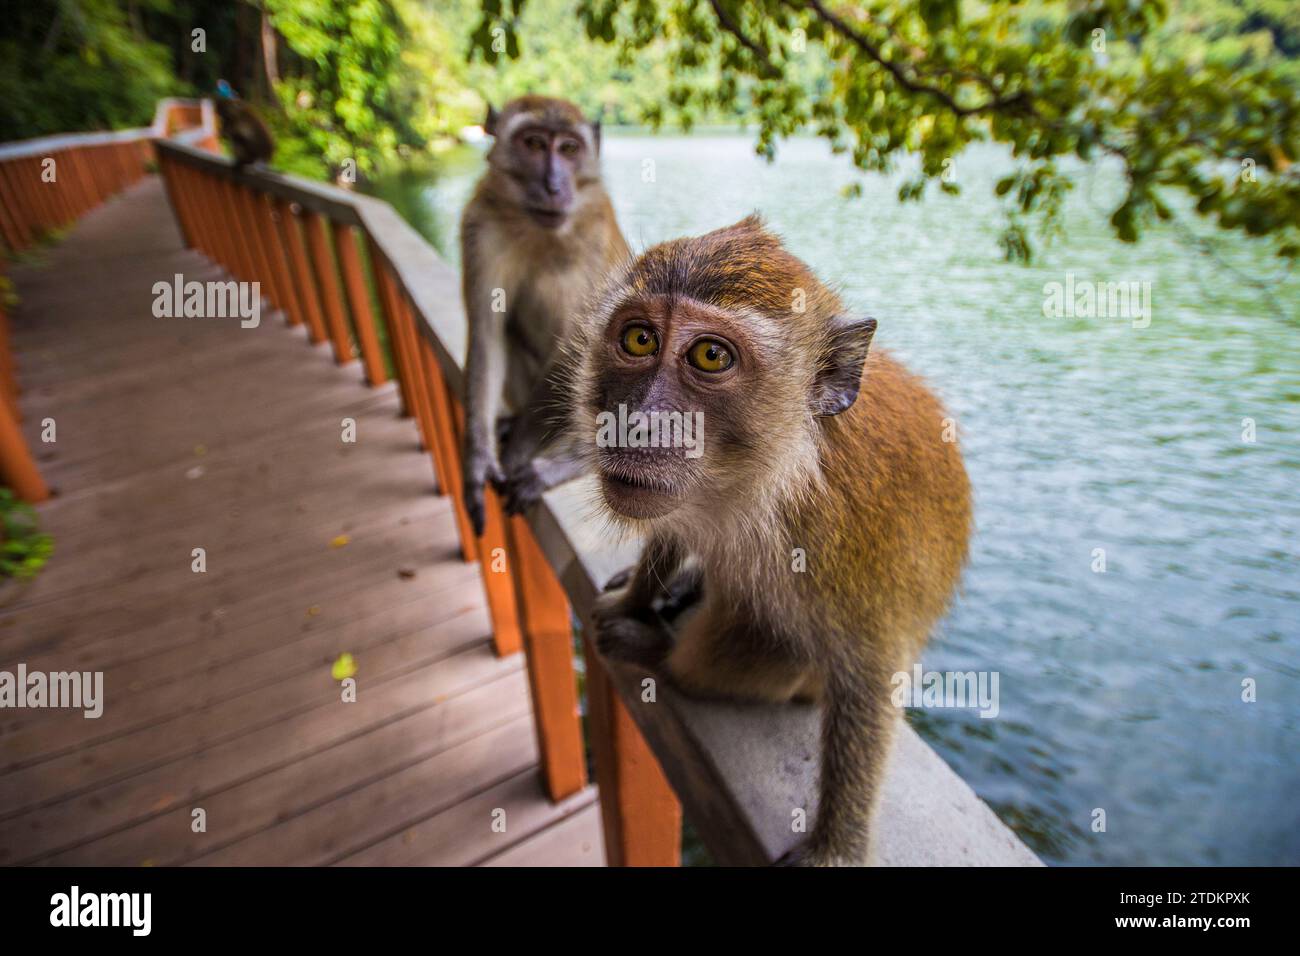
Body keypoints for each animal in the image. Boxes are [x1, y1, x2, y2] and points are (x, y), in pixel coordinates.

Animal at [460, 95, 629, 536]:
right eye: (534, 143)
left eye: (569, 149)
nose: (554, 186)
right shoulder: (480, 224)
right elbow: (487, 334)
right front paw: (479, 461)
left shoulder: (595, 239)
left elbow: (579, 345)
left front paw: (516, 458)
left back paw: (574, 459)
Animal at [568, 215, 972, 866]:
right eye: (638, 340)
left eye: (710, 355)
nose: (636, 423)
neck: (775, 474)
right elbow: (673, 526)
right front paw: (636, 594)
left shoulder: (840, 540)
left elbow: (869, 674)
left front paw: (836, 845)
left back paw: (661, 651)